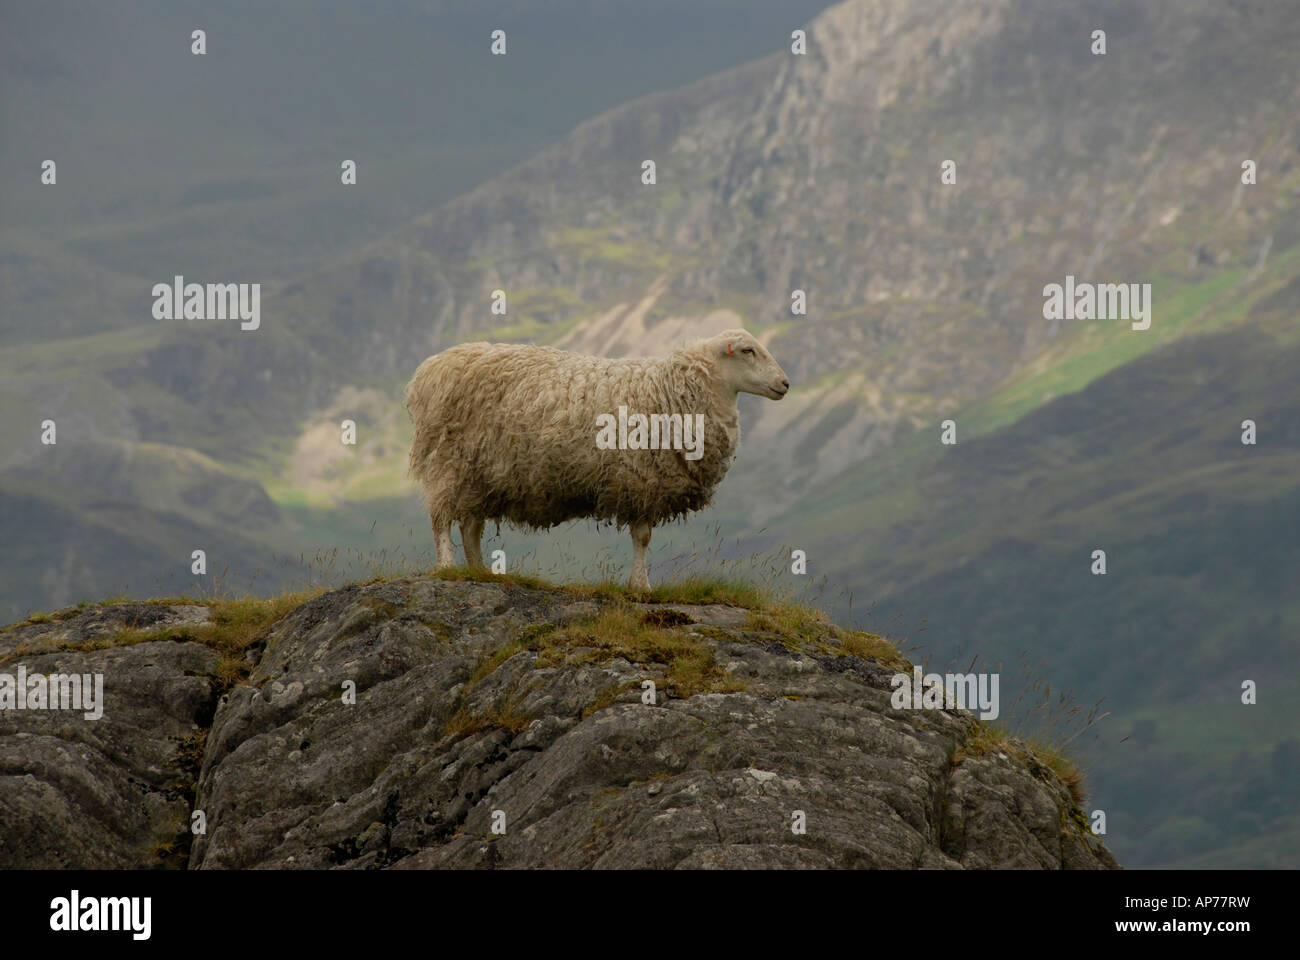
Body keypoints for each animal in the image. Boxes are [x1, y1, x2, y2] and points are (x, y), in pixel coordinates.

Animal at [405, 328, 790, 591]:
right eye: (748, 351)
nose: (785, 384)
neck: (677, 391)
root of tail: (431, 369)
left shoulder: (643, 484)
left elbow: (641, 538)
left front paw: (639, 584)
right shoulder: (642, 482)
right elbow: (643, 538)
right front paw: (641, 586)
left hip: (480, 476)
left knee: (470, 526)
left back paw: (479, 572)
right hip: (449, 463)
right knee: (441, 518)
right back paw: (448, 567)